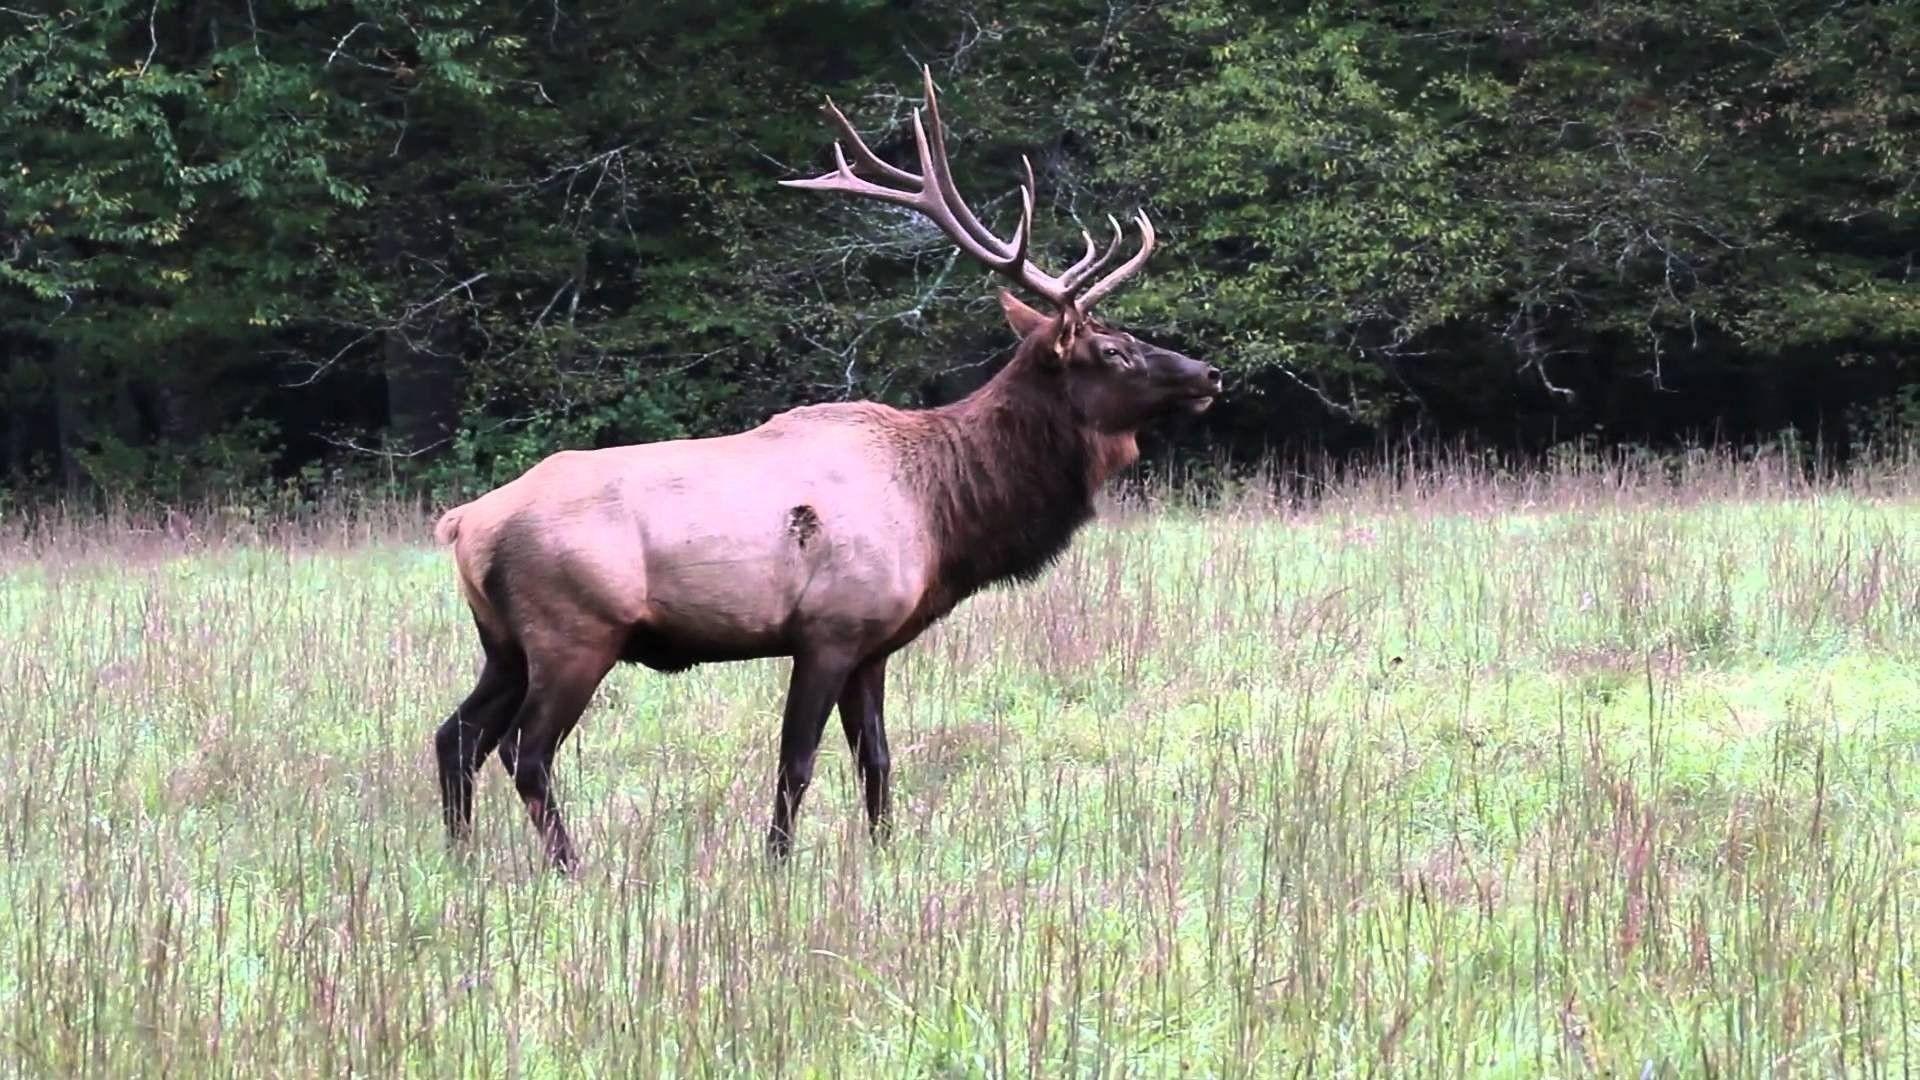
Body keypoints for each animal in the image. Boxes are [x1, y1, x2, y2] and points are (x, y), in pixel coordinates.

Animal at [430, 67, 1222, 871]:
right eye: (1114, 350)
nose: (1209, 373)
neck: (945, 515)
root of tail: (463, 522)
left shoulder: (875, 644)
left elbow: (877, 758)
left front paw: (885, 852)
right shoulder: (830, 627)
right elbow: (798, 760)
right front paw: (776, 862)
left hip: (505, 642)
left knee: (455, 735)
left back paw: (462, 858)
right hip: (576, 629)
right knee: (525, 751)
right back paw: (570, 865)